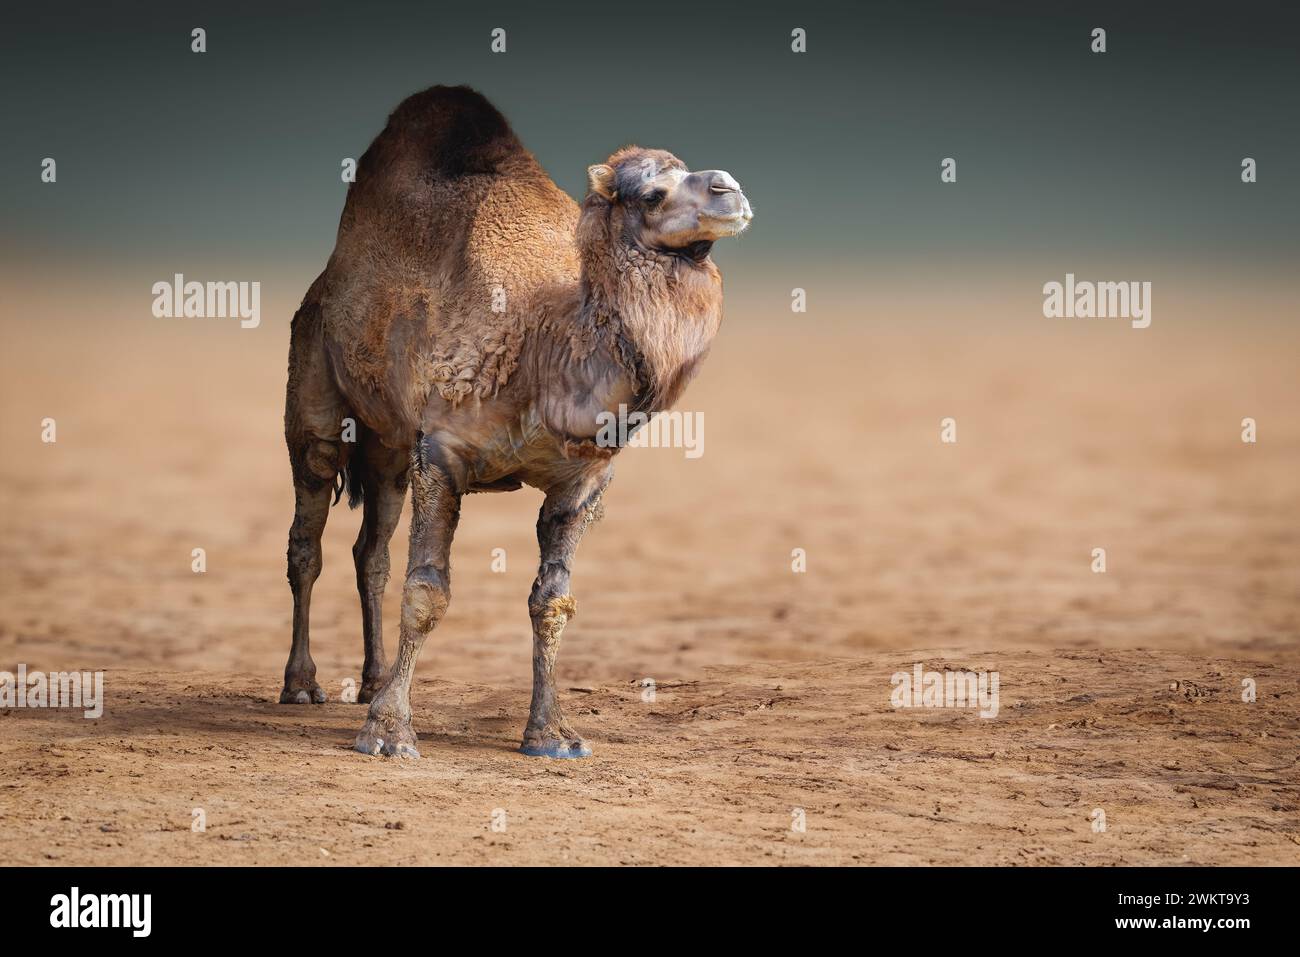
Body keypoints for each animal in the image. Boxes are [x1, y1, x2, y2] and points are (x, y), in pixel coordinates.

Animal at [280, 85, 752, 758]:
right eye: (652, 193)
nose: (728, 188)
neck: (545, 344)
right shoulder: (442, 452)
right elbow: (428, 591)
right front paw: (389, 733)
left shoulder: (583, 480)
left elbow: (551, 602)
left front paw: (553, 734)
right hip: (314, 379)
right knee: (308, 536)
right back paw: (303, 685)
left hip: (390, 445)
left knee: (371, 550)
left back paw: (371, 680)